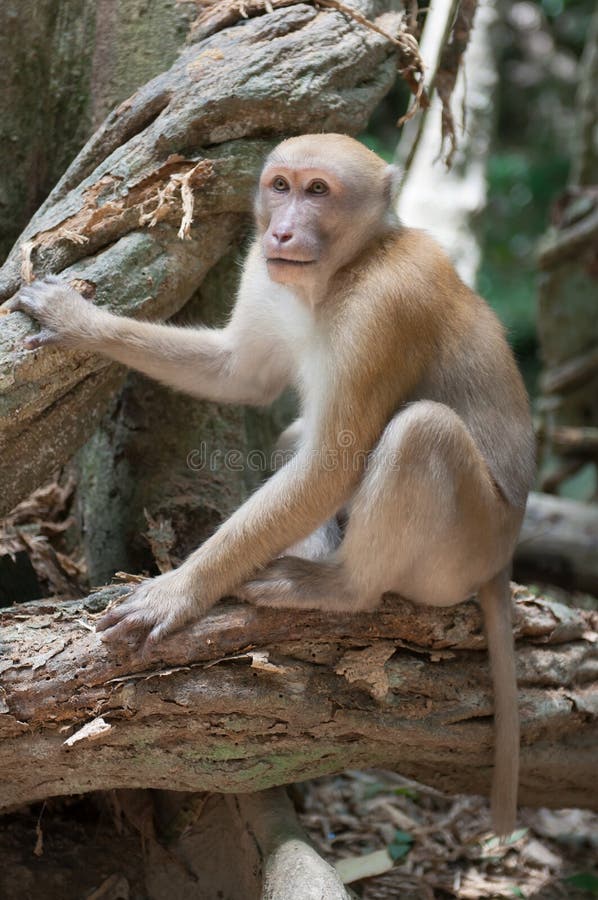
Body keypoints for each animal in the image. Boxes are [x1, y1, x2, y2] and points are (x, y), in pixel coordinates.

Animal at [5, 134, 535, 836]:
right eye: (280, 185)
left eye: (318, 191)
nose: (281, 230)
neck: (342, 271)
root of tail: (502, 557)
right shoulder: (265, 270)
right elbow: (239, 374)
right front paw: (79, 321)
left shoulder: (386, 306)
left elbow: (331, 464)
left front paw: (179, 590)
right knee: (299, 436)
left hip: (465, 548)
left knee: (422, 431)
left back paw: (339, 587)